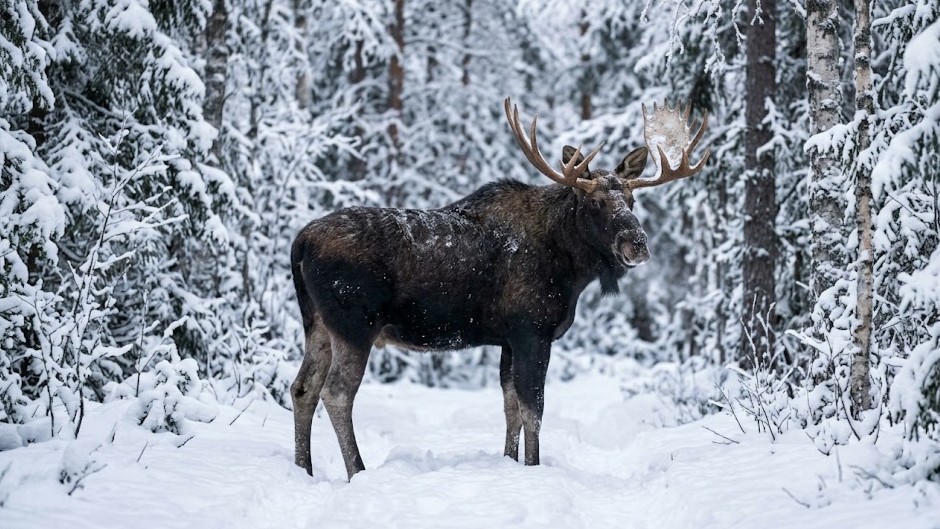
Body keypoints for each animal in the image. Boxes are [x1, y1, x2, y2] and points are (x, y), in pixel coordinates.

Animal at [289, 98, 709, 479]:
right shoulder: (532, 332)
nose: (638, 245)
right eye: (594, 202)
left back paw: (303, 469)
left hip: (317, 324)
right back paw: (357, 471)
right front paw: (534, 467)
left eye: (633, 199)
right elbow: (532, 410)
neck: (572, 269)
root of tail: (301, 242)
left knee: (302, 388)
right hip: (355, 325)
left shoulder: (508, 339)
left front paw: (510, 463)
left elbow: (510, 409)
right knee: (336, 393)